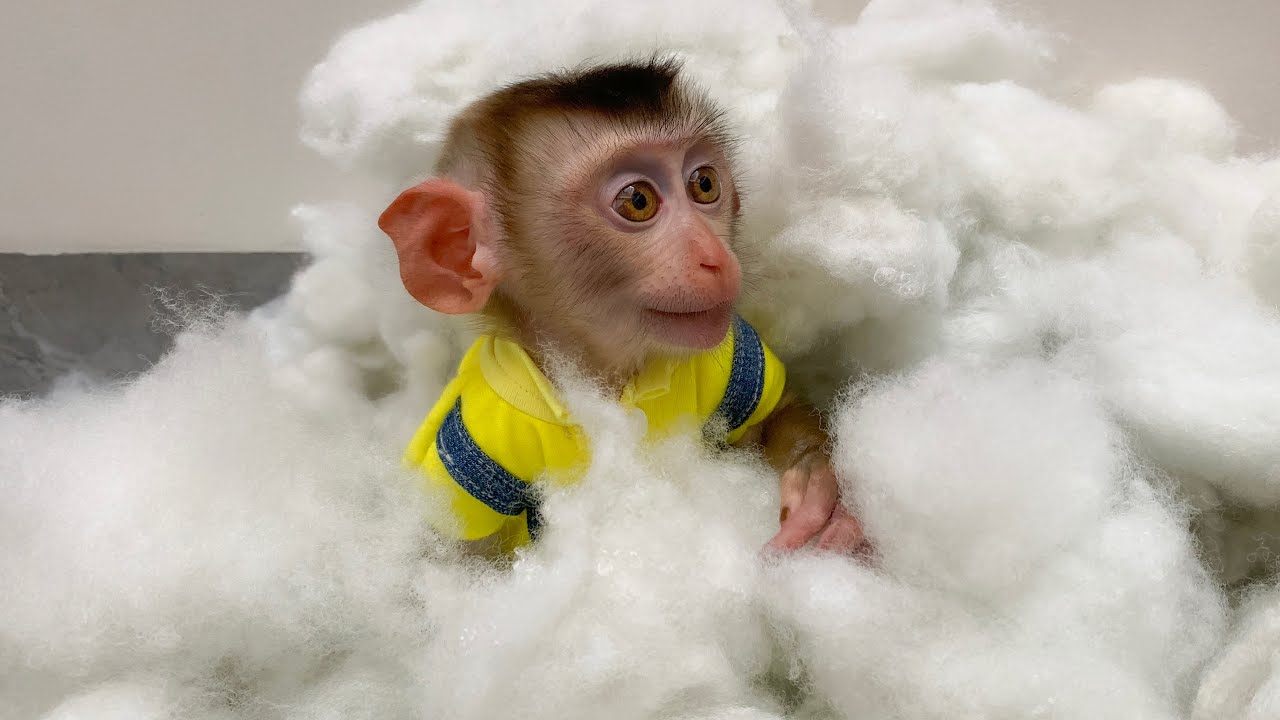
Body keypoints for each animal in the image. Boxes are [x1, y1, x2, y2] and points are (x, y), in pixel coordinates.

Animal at [378, 58, 864, 556]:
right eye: (638, 200)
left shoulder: (733, 351)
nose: (717, 257)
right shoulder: (475, 443)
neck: (610, 375)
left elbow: (778, 411)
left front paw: (817, 492)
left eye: (705, 184)